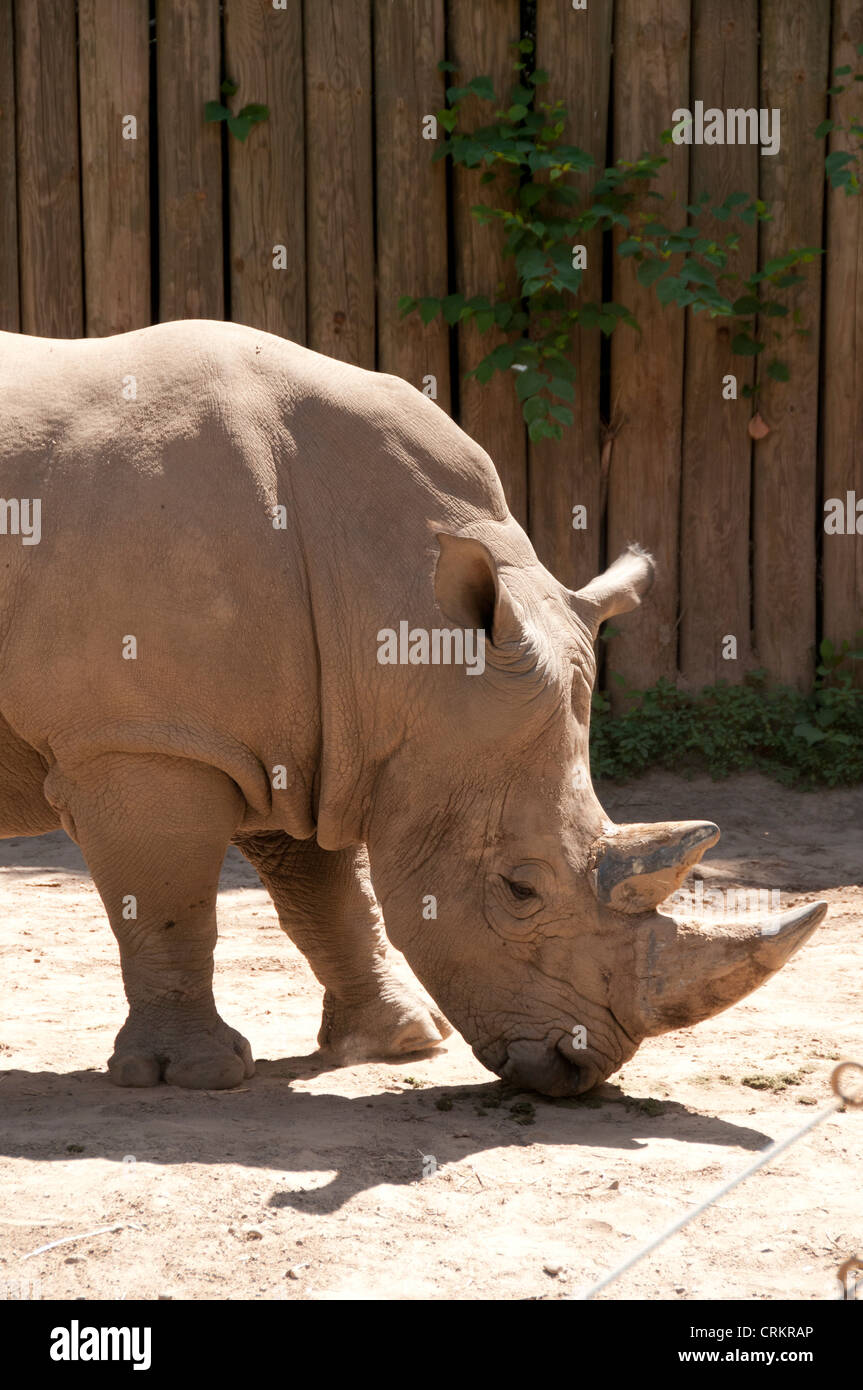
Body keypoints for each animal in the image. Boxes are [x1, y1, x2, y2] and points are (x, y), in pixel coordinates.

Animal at [0, 320, 825, 1095]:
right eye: (519, 888)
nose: (575, 1069)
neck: (387, 603)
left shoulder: (297, 733)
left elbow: (329, 896)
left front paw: (398, 1041)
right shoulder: (141, 741)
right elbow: (169, 901)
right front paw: (194, 1074)